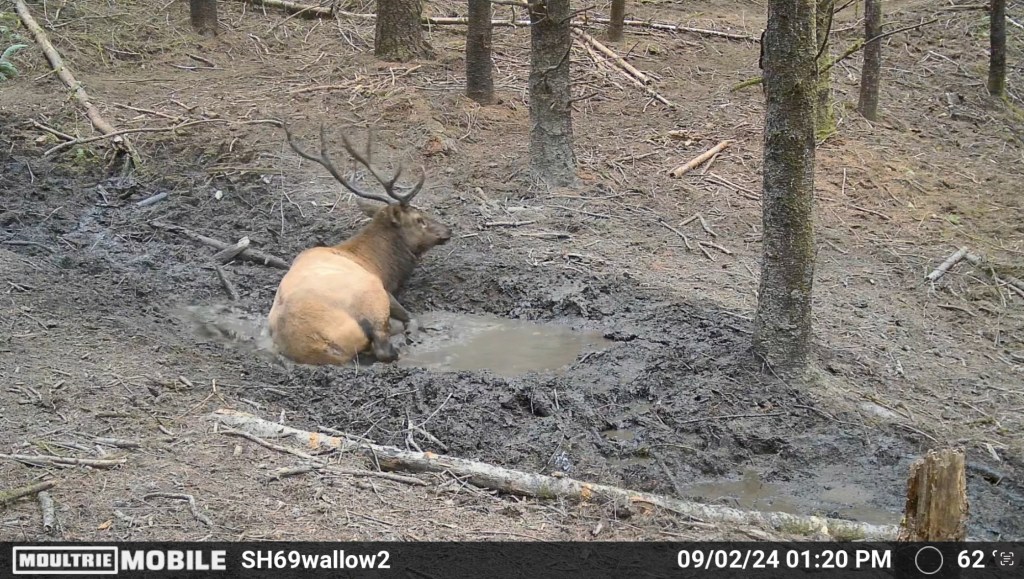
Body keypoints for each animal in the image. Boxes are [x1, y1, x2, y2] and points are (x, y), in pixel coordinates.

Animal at [266, 125, 452, 366]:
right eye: (419, 219)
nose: (448, 230)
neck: (379, 265)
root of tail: (321, 346)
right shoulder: (384, 290)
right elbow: (411, 318)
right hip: (372, 299)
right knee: (385, 348)